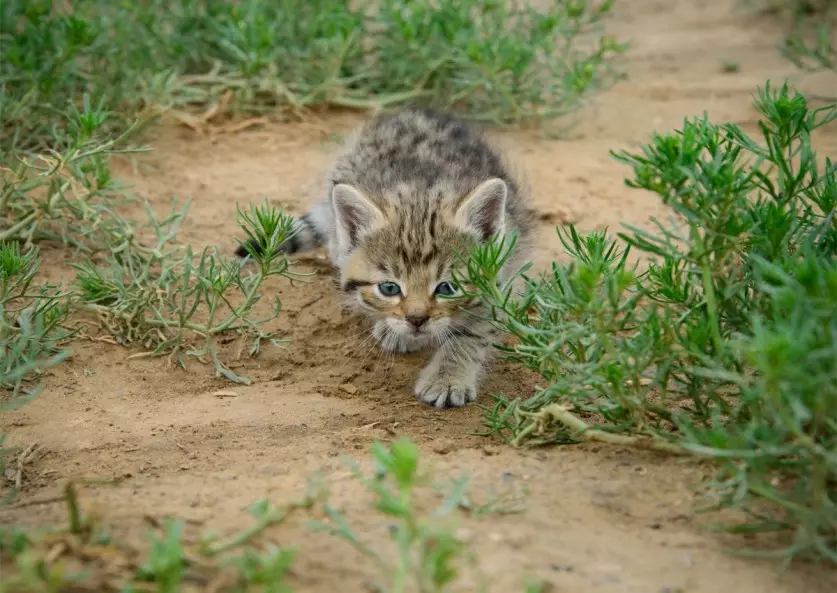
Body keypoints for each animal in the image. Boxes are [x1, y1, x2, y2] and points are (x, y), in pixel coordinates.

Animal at [235, 108, 536, 408]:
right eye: (389, 288)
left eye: (447, 288)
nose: (416, 320)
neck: (420, 194)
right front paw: (394, 330)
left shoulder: (504, 272)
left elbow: (475, 331)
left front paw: (448, 376)